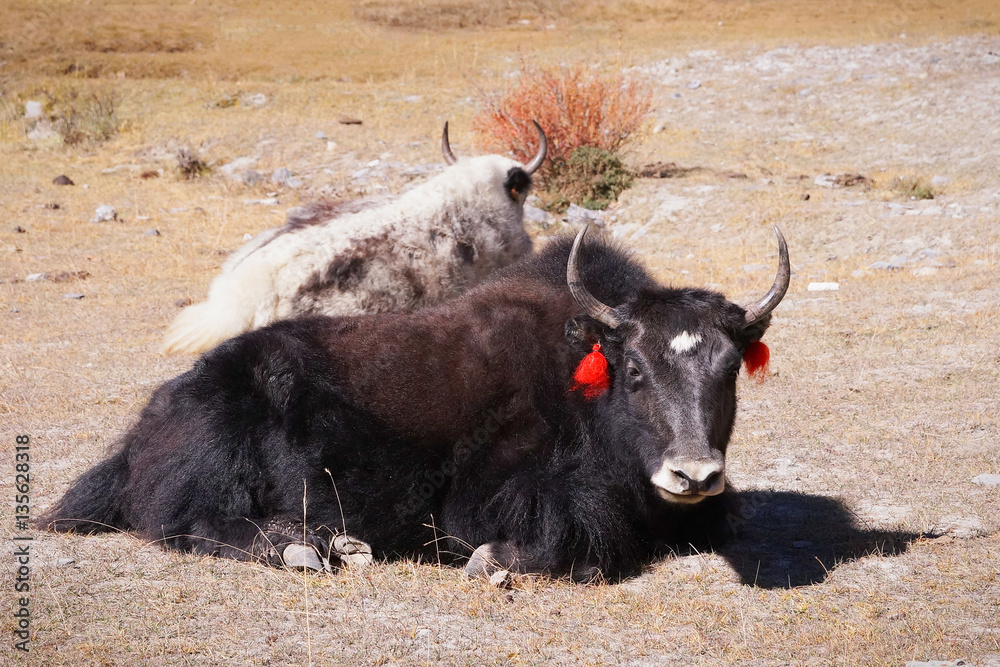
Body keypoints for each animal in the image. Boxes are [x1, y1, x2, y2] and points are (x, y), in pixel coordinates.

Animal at [44, 224, 789, 581]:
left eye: (729, 369)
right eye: (634, 369)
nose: (694, 474)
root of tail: (148, 423)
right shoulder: (481, 499)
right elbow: (575, 541)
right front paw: (495, 562)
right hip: (217, 456)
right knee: (186, 520)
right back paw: (309, 549)